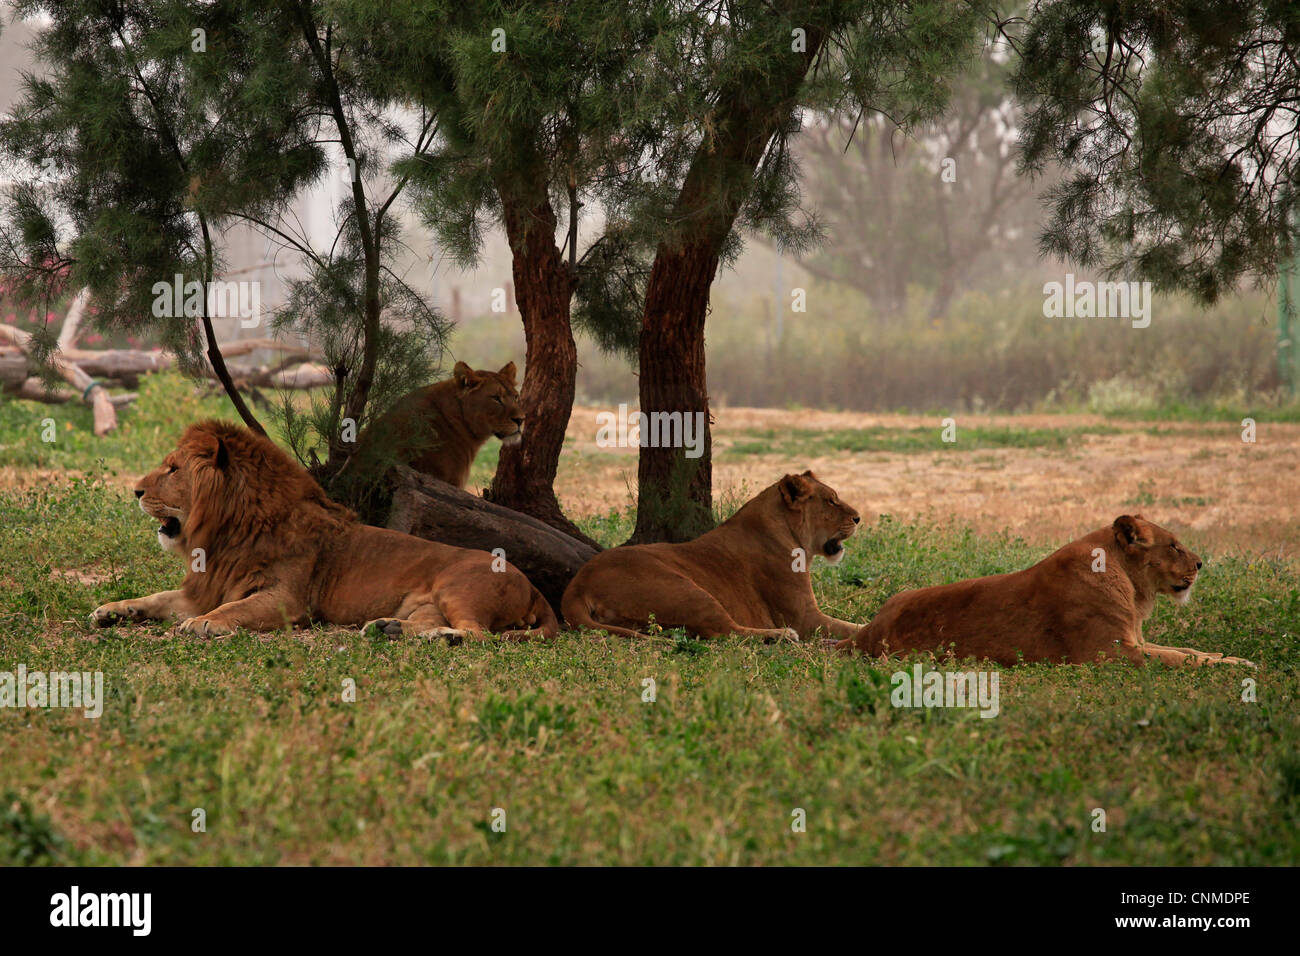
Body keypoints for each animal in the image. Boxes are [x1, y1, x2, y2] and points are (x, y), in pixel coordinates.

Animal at [90, 420, 557, 642]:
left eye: (173, 469)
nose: (135, 490)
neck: (226, 533)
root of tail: (535, 588)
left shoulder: (288, 601)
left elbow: (233, 609)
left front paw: (203, 624)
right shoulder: (205, 588)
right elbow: (155, 597)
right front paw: (113, 609)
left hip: (457, 587)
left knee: (480, 635)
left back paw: (445, 639)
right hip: (424, 605)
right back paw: (391, 630)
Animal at [562, 471, 862, 641]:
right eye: (831, 500)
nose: (859, 518)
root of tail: (578, 583)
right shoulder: (803, 617)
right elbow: (851, 627)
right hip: (685, 590)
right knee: (723, 632)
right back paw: (781, 636)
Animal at [832, 514, 1253, 667]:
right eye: (1174, 546)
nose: (1201, 564)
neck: (1134, 592)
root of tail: (867, 631)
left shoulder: (1134, 641)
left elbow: (1186, 650)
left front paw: (1229, 656)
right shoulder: (1109, 654)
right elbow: (1179, 659)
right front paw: (1236, 666)